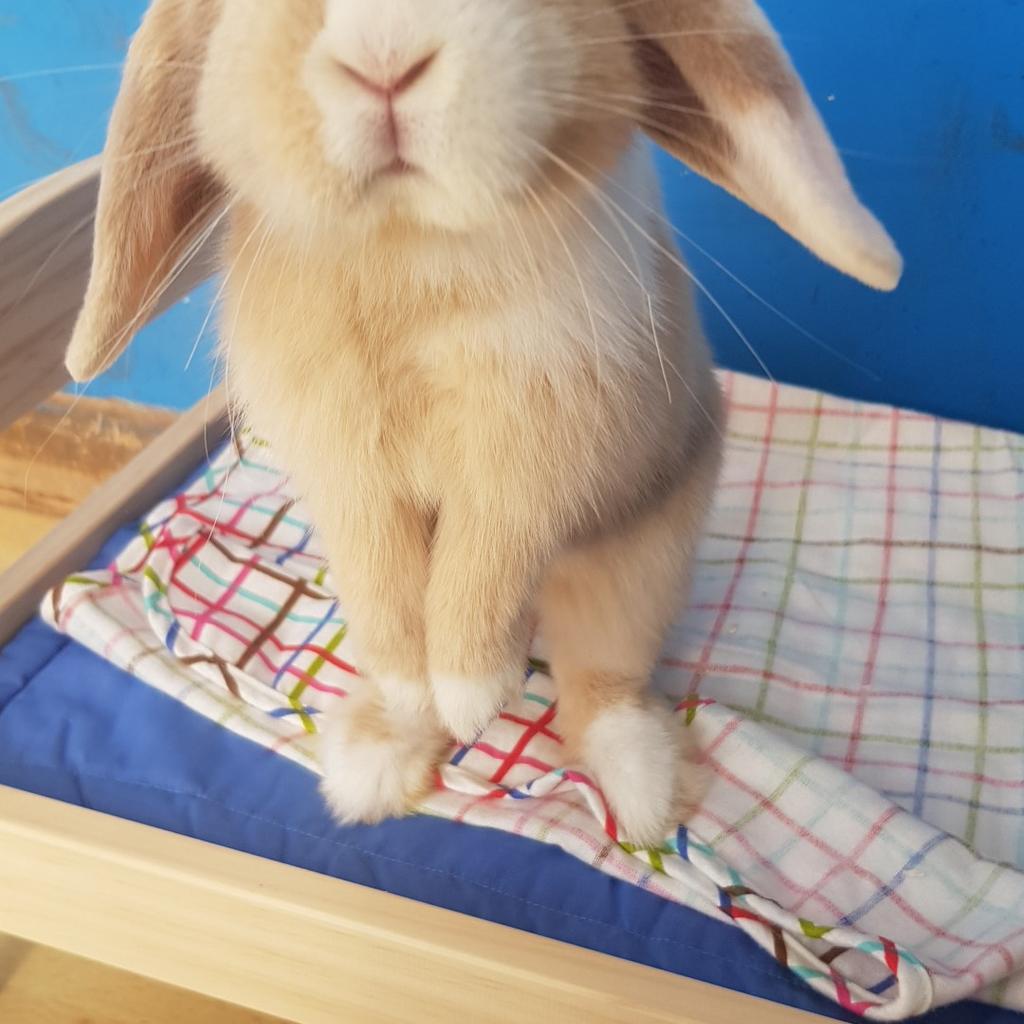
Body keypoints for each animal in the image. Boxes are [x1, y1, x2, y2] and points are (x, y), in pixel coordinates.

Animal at [64, 0, 901, 847]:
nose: (385, 55)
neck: (407, 241)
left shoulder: (533, 455)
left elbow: (483, 565)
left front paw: (470, 696)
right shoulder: (346, 474)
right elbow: (388, 577)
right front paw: (416, 691)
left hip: (640, 562)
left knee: (600, 674)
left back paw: (643, 793)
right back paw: (375, 757)